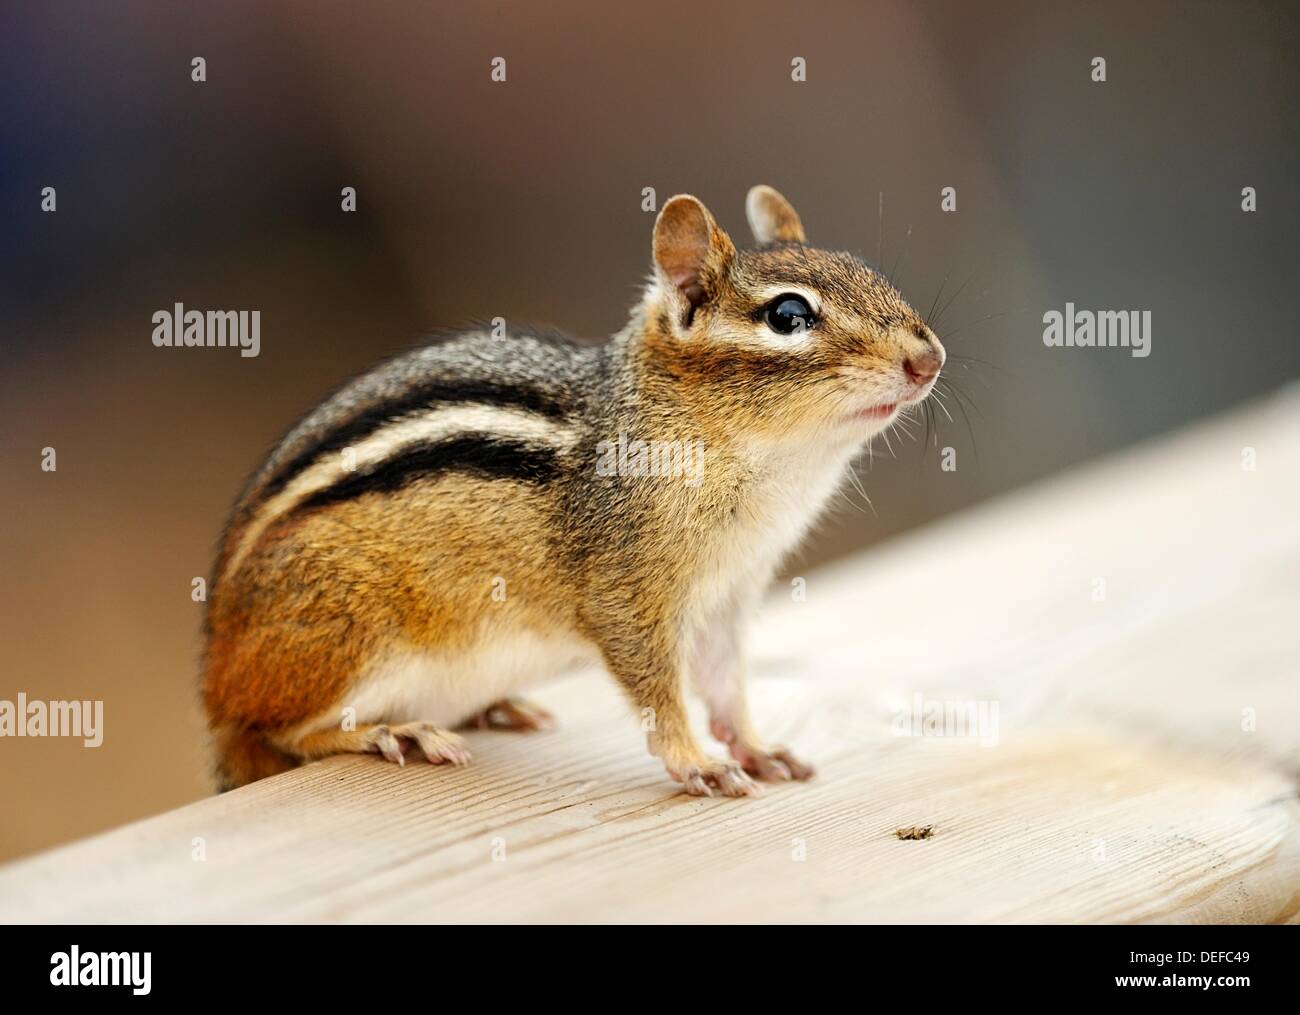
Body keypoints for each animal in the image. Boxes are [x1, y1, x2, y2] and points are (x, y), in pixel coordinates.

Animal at [203, 185, 945, 797]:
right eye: (788, 315)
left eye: (868, 271)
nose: (929, 358)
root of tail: (217, 684)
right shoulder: (627, 592)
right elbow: (658, 690)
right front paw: (695, 762)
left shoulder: (727, 595)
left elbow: (725, 683)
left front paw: (756, 748)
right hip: (345, 637)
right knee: (285, 733)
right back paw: (393, 731)